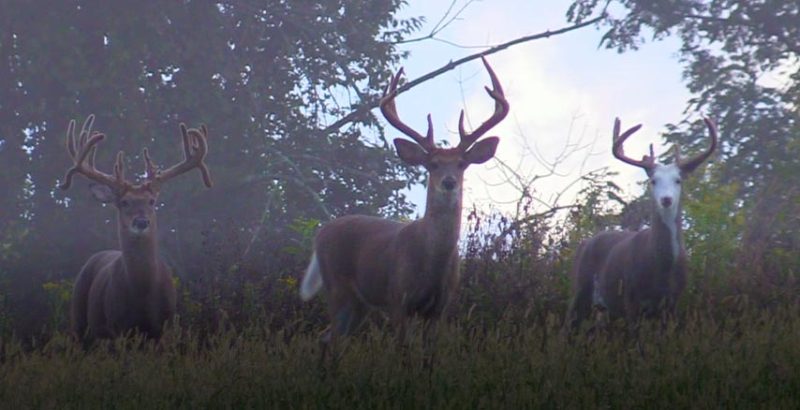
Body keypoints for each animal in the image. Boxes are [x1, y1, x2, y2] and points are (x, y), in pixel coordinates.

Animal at [61, 114, 212, 341]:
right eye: (124, 202)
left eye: (151, 201)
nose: (141, 222)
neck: (142, 293)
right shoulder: (117, 327)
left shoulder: (165, 326)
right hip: (79, 319)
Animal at [299, 57, 509, 343]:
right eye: (432, 164)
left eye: (461, 163)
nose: (449, 182)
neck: (431, 263)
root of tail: (321, 231)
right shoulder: (398, 298)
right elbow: (402, 347)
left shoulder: (441, 308)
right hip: (337, 284)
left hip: (359, 303)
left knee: (329, 338)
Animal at [565, 117, 717, 333]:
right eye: (653, 180)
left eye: (678, 180)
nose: (666, 199)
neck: (661, 266)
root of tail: (584, 243)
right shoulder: (631, 299)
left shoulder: (672, 304)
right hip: (580, 289)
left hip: (606, 310)